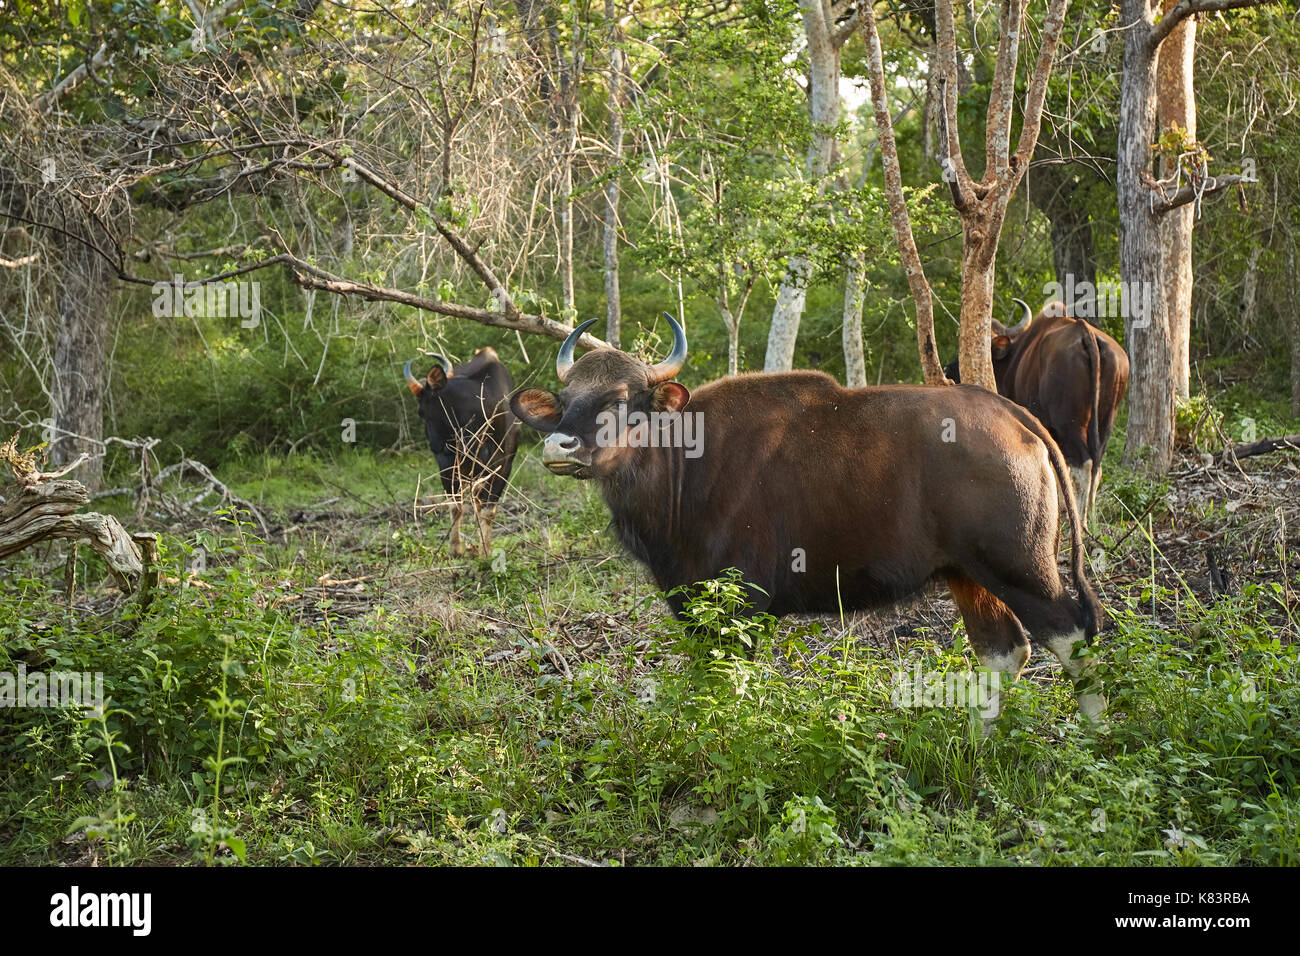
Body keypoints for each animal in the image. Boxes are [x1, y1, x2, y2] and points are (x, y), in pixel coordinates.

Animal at [405, 347, 520, 557]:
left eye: (422, 412)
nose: (435, 446)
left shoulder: (504, 464)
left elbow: (488, 511)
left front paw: (485, 551)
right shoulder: (447, 464)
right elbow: (456, 506)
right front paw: (456, 548)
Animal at [511, 315, 1107, 720]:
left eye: (619, 398)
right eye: (565, 397)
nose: (559, 446)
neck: (686, 465)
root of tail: (1019, 420)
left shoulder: (745, 604)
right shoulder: (695, 606)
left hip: (1021, 564)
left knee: (1072, 634)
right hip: (968, 572)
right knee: (1004, 651)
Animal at [945, 300, 1130, 528]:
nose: (948, 369)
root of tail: (1086, 335)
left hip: (1069, 423)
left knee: (1083, 462)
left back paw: (1079, 520)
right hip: (1106, 421)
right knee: (1097, 464)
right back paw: (1092, 517)